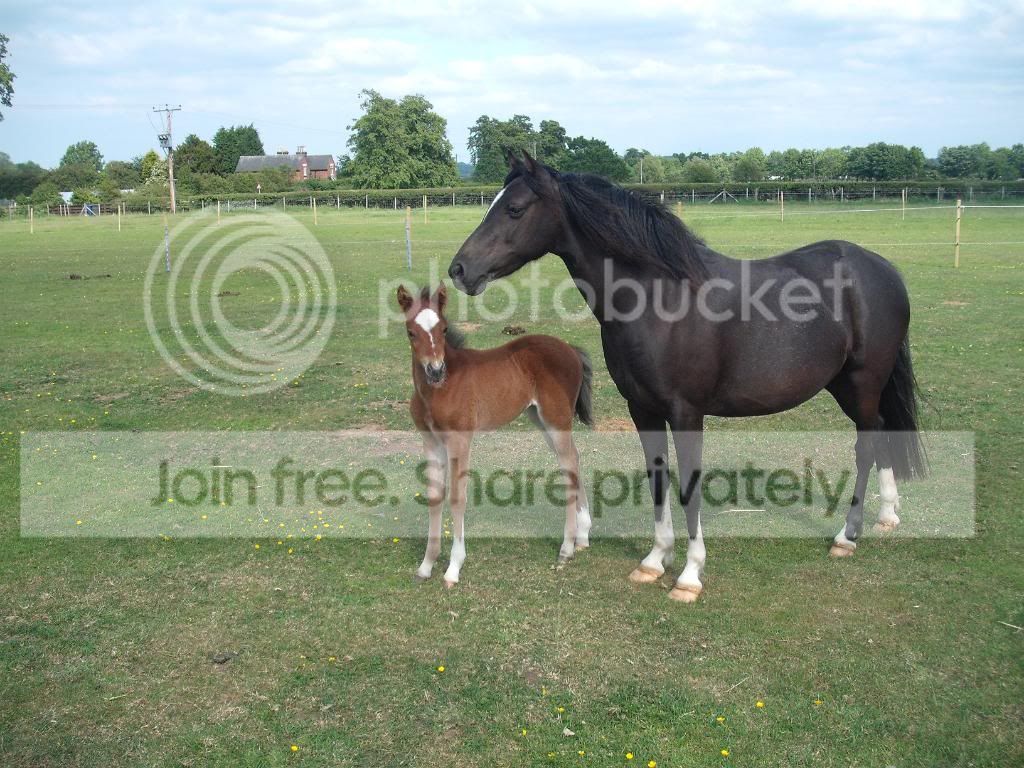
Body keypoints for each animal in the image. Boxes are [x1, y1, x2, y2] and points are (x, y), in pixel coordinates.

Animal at [397, 283, 595, 587]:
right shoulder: (430, 440)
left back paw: (566, 549)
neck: (437, 390)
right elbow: (434, 496)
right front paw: (426, 566)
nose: (435, 370)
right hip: (540, 419)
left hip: (556, 419)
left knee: (569, 463)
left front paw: (453, 568)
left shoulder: (460, 440)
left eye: (443, 329)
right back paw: (582, 535)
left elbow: (457, 498)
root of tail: (570, 349)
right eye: (411, 332)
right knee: (574, 458)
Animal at [447, 151, 926, 603]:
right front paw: (654, 560)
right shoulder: (642, 410)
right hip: (845, 384)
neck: (659, 299)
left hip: (863, 382)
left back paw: (847, 535)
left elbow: (689, 487)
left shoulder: (686, 413)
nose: (459, 270)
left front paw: (690, 575)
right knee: (881, 430)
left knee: (865, 446)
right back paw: (887, 515)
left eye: (514, 209)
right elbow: (658, 479)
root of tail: (881, 268)